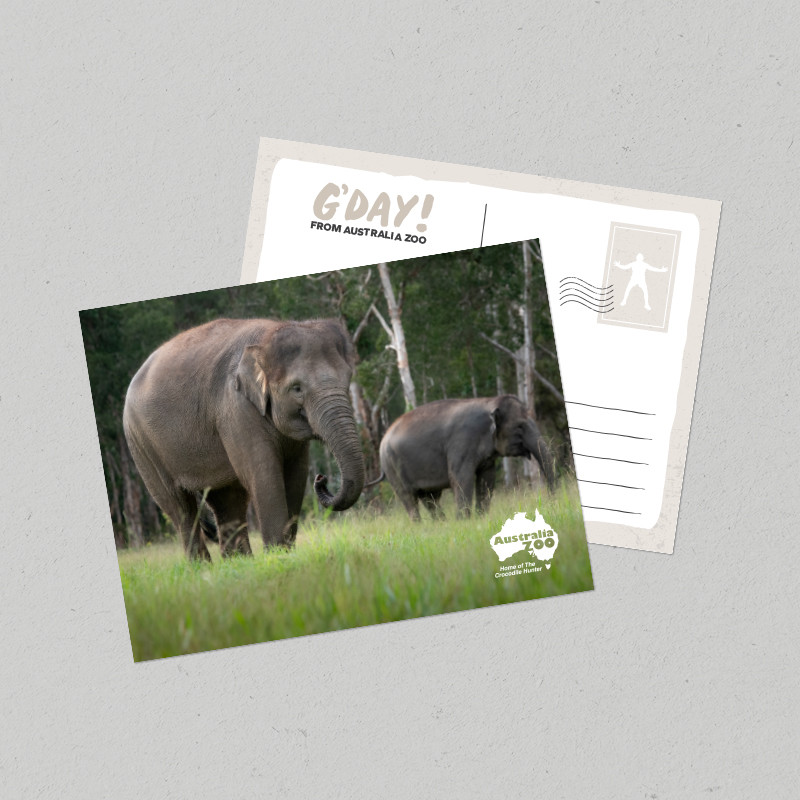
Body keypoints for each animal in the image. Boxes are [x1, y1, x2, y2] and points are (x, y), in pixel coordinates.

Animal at [123, 318, 365, 560]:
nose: (321, 479)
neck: (268, 335)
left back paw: (239, 562)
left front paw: (286, 554)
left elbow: (296, 474)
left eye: (348, 379)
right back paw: (202, 566)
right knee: (180, 507)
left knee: (227, 500)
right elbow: (264, 474)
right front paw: (277, 556)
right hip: (141, 445)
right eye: (296, 388)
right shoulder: (236, 409)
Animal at [373, 395, 555, 520]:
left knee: (430, 498)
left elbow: (486, 479)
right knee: (409, 498)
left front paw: (481, 518)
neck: (490, 401)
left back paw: (442, 524)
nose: (550, 500)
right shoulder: (461, 442)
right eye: (520, 426)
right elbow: (461, 477)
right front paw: (464, 521)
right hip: (392, 467)